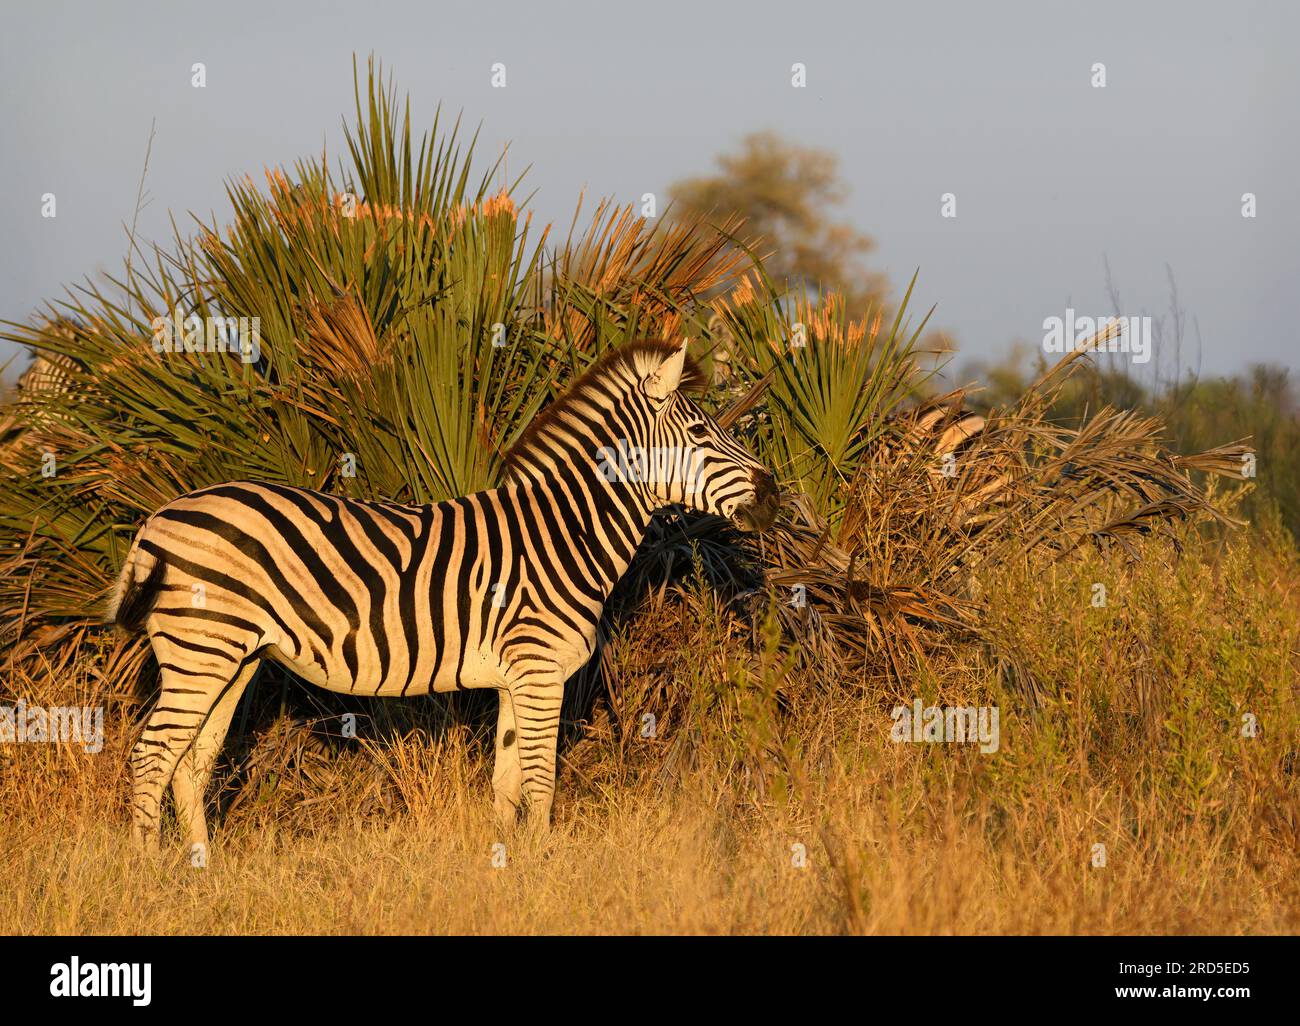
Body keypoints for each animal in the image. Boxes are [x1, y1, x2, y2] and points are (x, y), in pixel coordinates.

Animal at [107, 338, 779, 855]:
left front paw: (505, 870)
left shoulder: (515, 678)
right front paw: (545, 867)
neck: (563, 534)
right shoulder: (539, 670)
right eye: (700, 431)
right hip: (201, 650)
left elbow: (507, 786)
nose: (773, 492)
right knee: (151, 757)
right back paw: (153, 875)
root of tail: (158, 517)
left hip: (233, 658)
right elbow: (541, 782)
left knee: (190, 763)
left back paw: (201, 871)